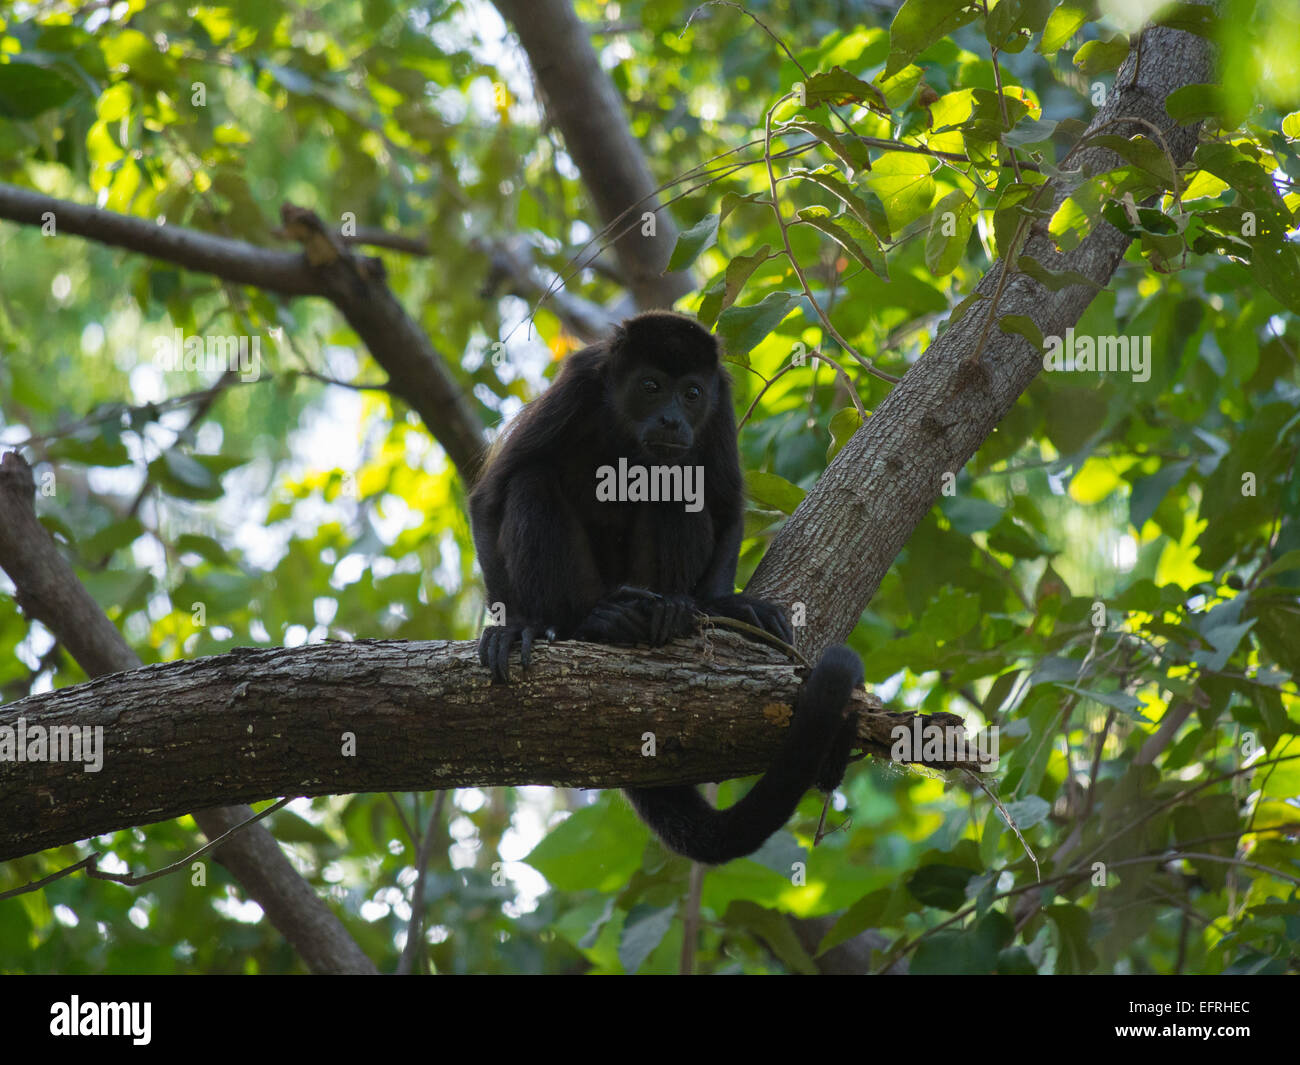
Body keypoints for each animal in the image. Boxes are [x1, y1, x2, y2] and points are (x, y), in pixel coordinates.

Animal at [469, 310, 862, 864]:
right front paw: (515, 626)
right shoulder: (578, 384)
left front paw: (724, 603)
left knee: (679, 477)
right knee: (531, 482)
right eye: (651, 387)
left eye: (692, 394)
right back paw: (593, 623)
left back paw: (671, 611)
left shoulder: (721, 403)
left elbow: (723, 500)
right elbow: (491, 495)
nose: (673, 419)